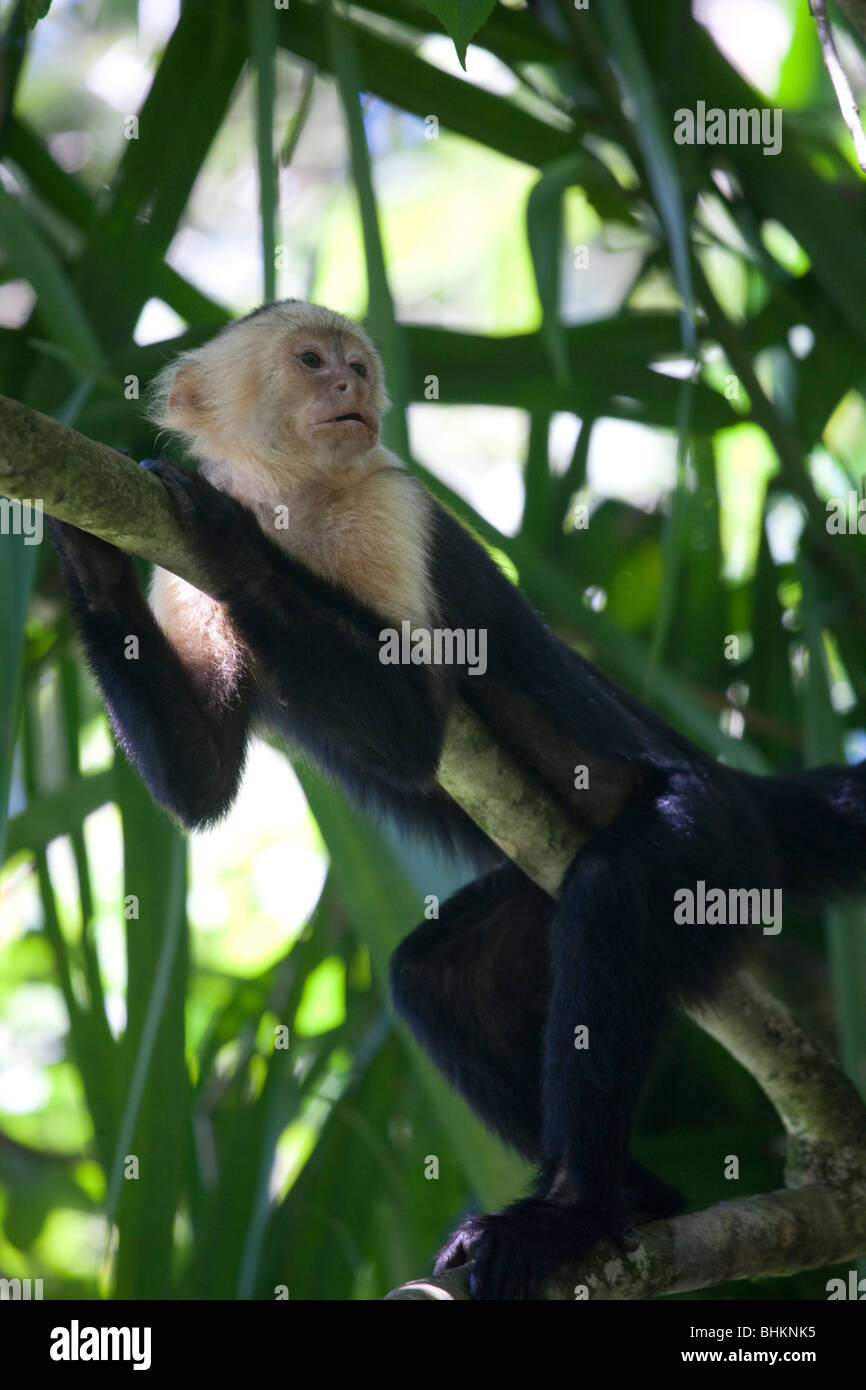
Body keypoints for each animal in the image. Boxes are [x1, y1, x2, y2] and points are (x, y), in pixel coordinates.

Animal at [45, 299, 866, 1299]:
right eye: (311, 361)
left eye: (357, 364)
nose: (350, 384)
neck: (296, 502)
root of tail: (737, 790)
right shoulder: (178, 580)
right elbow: (202, 784)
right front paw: (85, 555)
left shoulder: (388, 507)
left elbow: (411, 728)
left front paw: (227, 539)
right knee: (436, 980)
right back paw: (637, 1199)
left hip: (711, 845)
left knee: (614, 906)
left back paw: (571, 1210)